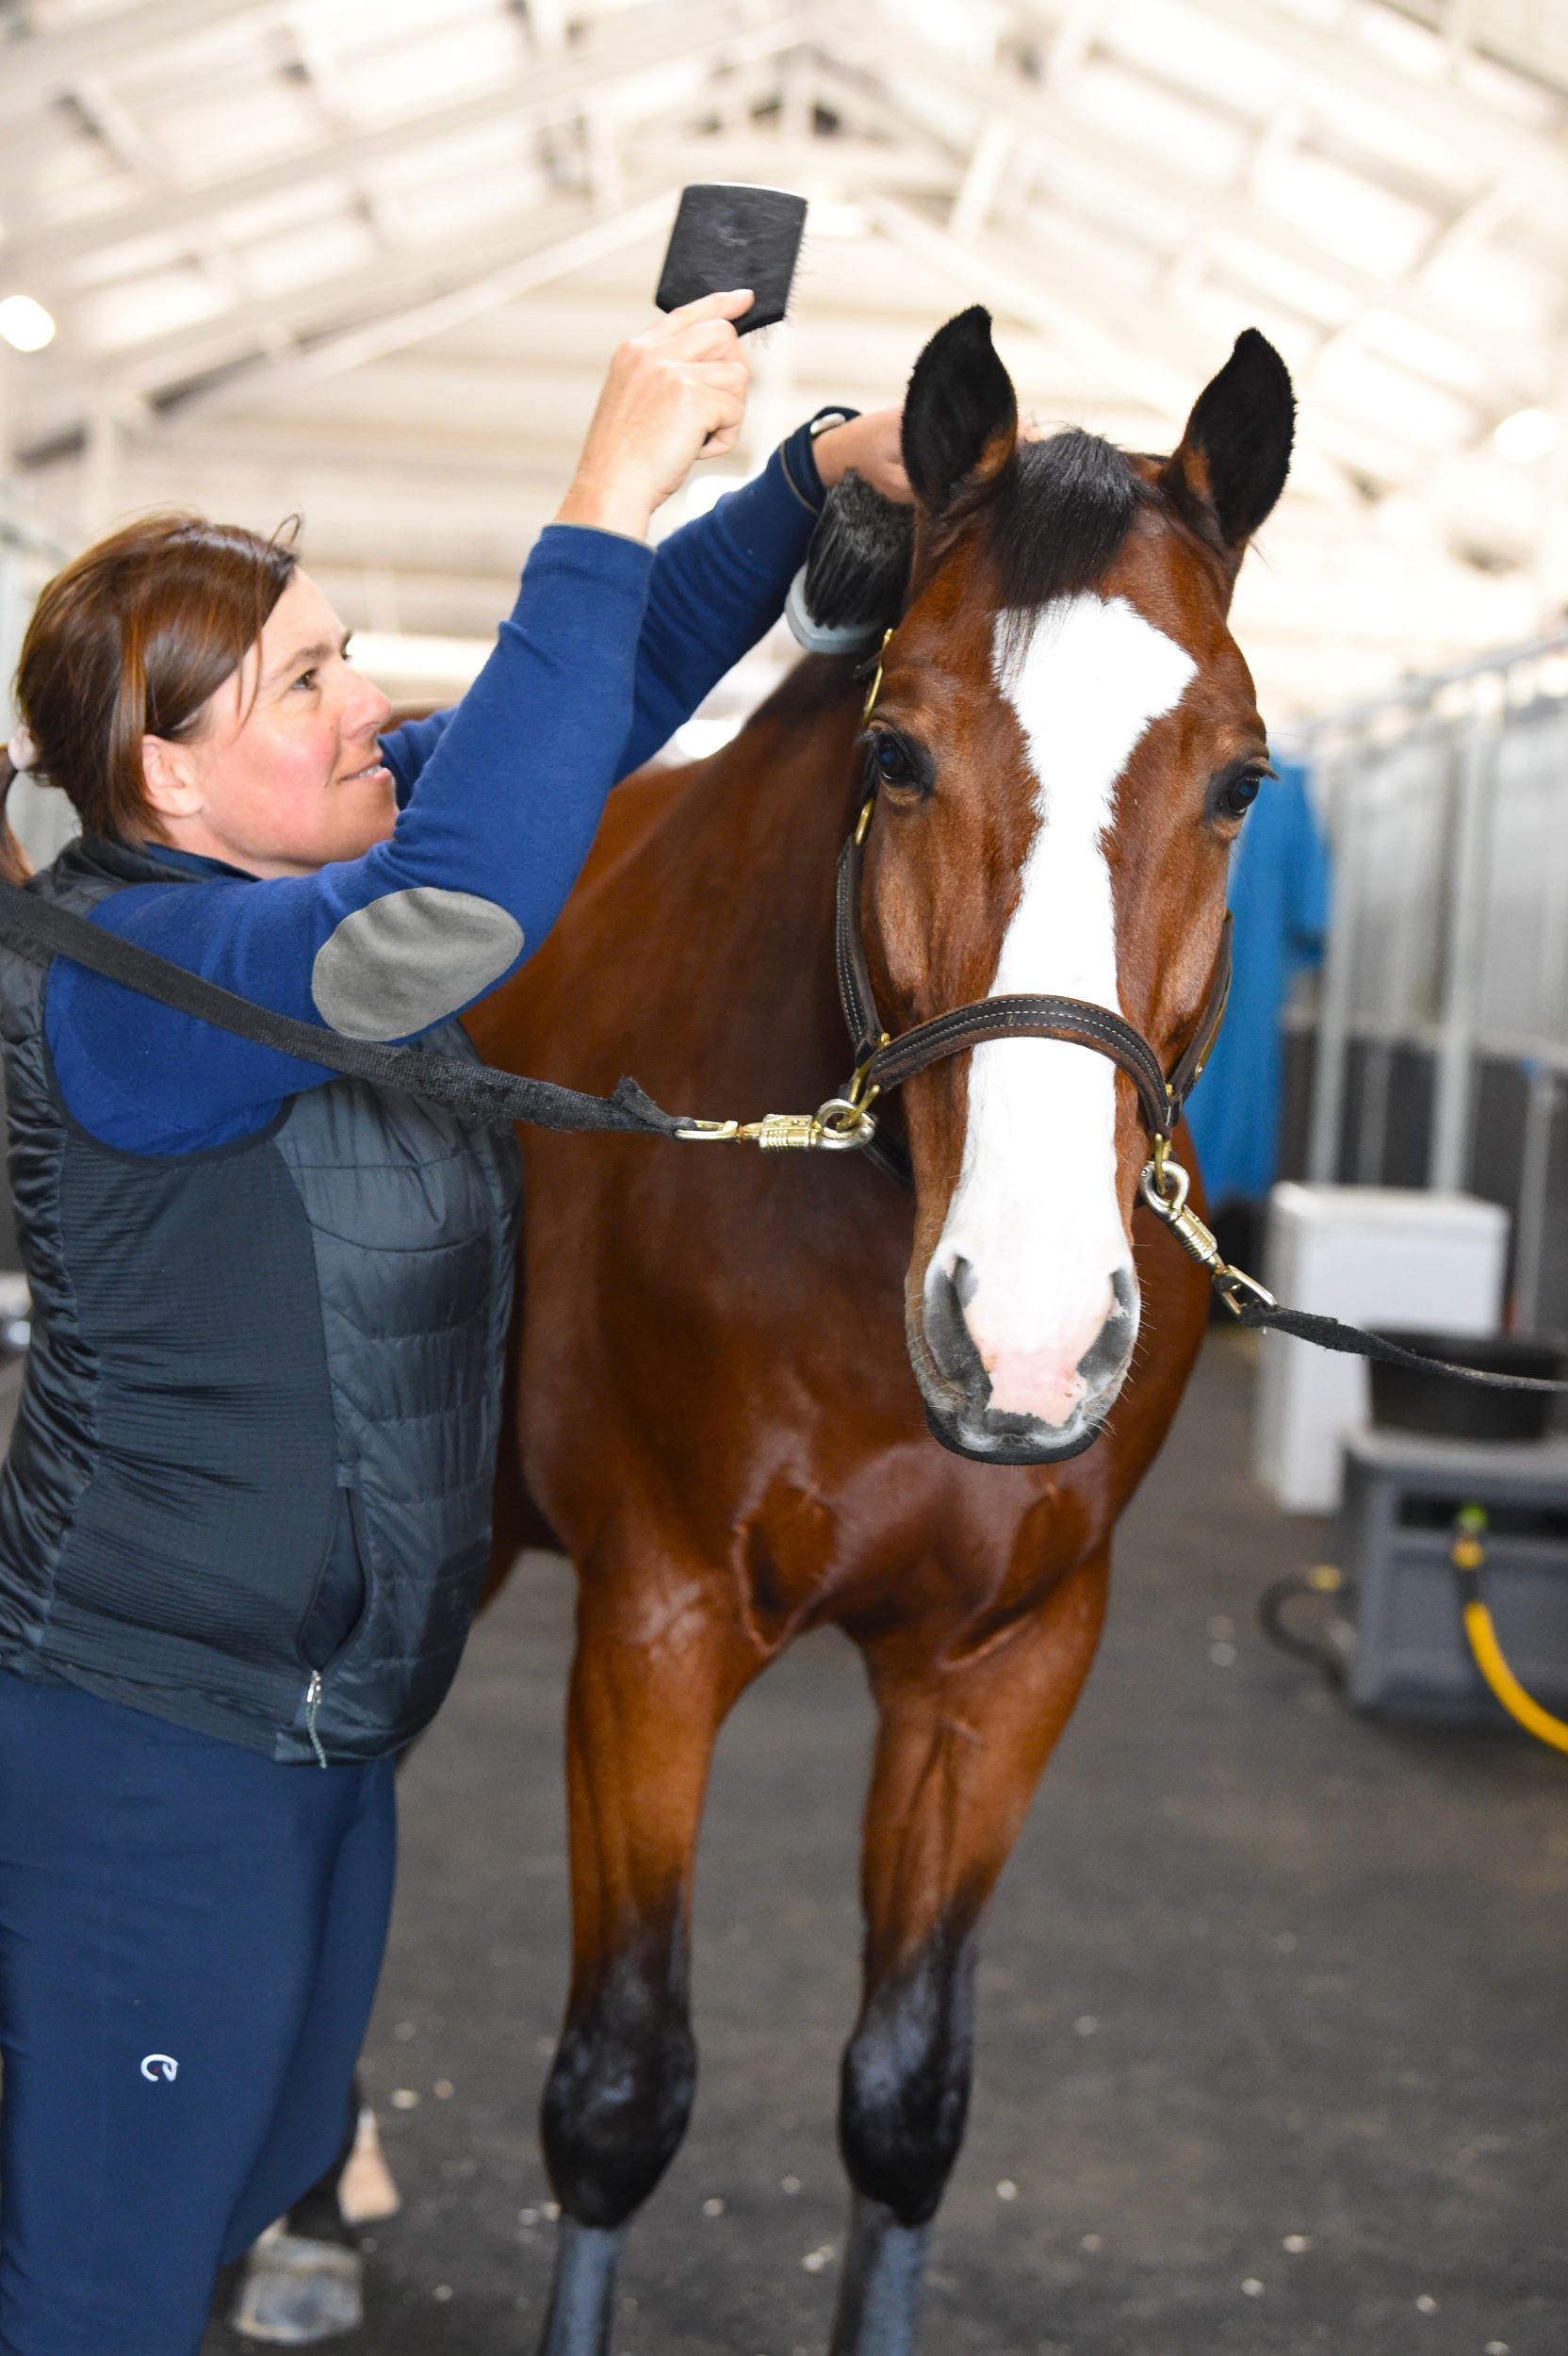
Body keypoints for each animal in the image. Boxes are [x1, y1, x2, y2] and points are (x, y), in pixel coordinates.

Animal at [464, 302, 1295, 2356]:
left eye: (1238, 780)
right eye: (897, 751)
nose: (1025, 1332)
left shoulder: (999, 1670)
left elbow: (907, 2102)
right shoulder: (653, 1628)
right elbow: (618, 2094)